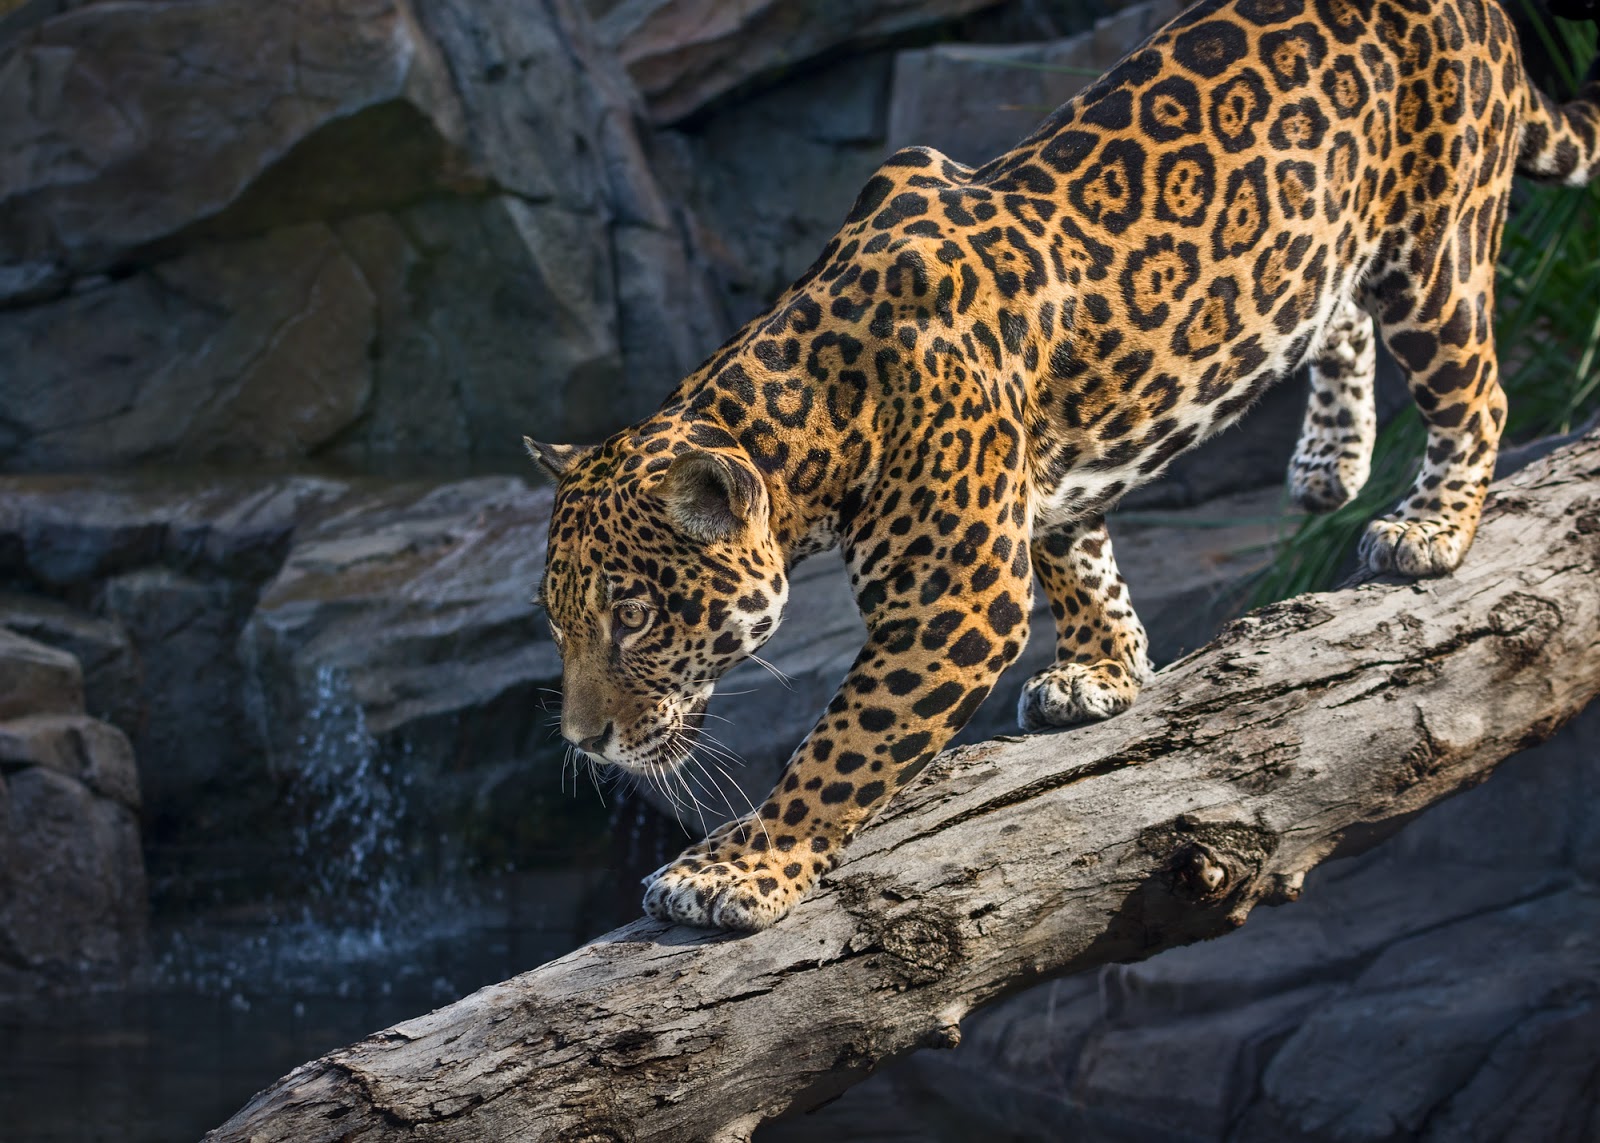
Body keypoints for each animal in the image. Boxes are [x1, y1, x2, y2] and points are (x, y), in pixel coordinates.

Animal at [528, 0, 1600, 931]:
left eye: (634, 617)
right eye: (560, 621)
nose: (583, 743)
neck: (810, 417)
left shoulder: (953, 606)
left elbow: (838, 749)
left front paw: (736, 870)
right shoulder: (1046, 480)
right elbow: (1078, 556)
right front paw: (1103, 669)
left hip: (1435, 251)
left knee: (1476, 389)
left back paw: (1431, 524)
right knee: (1333, 307)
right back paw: (1329, 460)